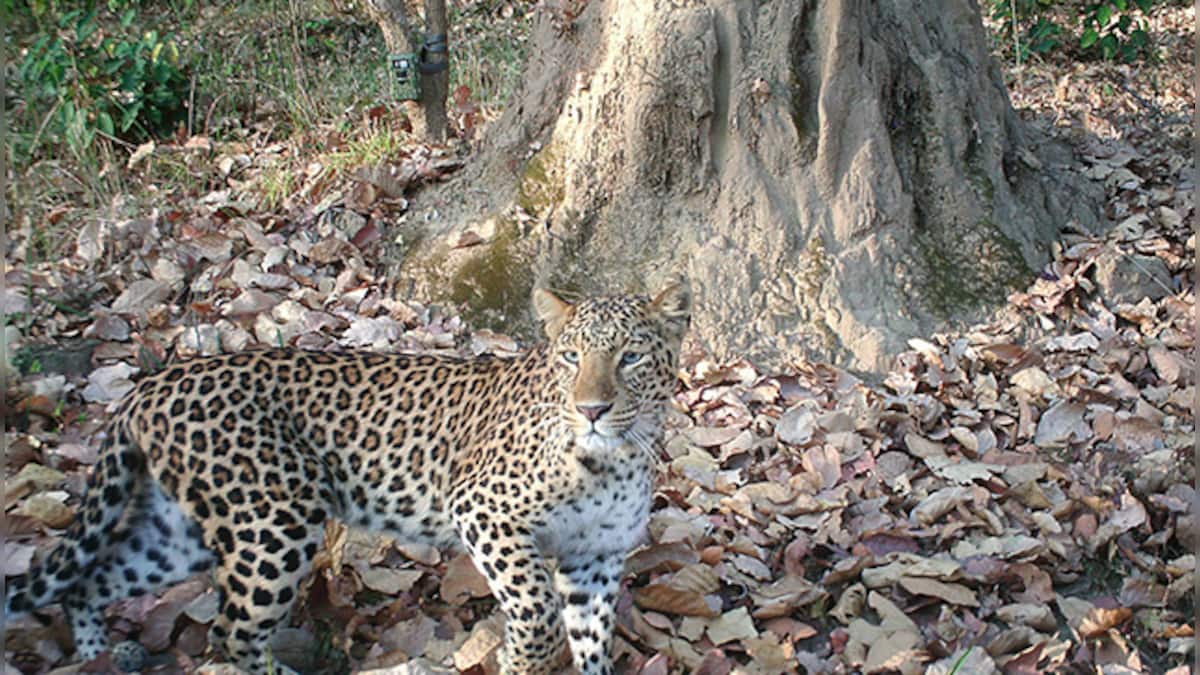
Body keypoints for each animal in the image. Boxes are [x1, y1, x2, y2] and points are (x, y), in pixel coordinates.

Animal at [5, 279, 691, 675]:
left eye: (631, 355)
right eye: (571, 357)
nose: (591, 409)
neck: (618, 457)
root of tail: (152, 384)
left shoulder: (595, 556)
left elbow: (590, 640)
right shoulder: (482, 510)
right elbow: (538, 615)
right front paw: (523, 658)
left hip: (181, 534)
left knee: (90, 580)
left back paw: (102, 654)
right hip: (271, 524)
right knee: (233, 631)